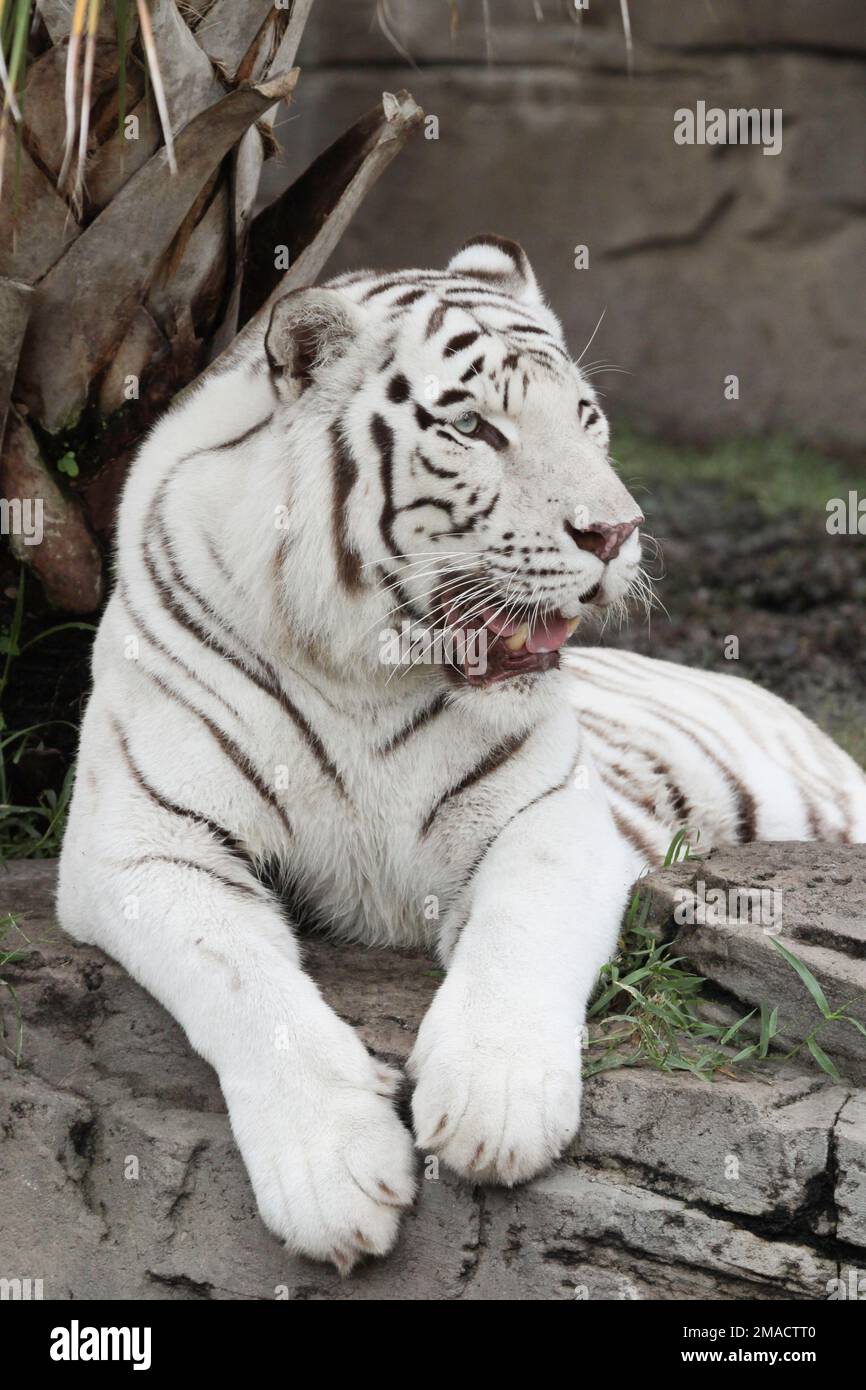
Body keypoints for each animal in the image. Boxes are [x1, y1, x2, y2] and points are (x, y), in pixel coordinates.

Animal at [57, 234, 866, 1272]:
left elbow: (520, 932)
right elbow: (242, 980)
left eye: (586, 417)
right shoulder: (140, 845)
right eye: (475, 429)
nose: (617, 531)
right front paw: (333, 1176)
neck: (362, 671)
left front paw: (494, 1107)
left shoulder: (551, 814)